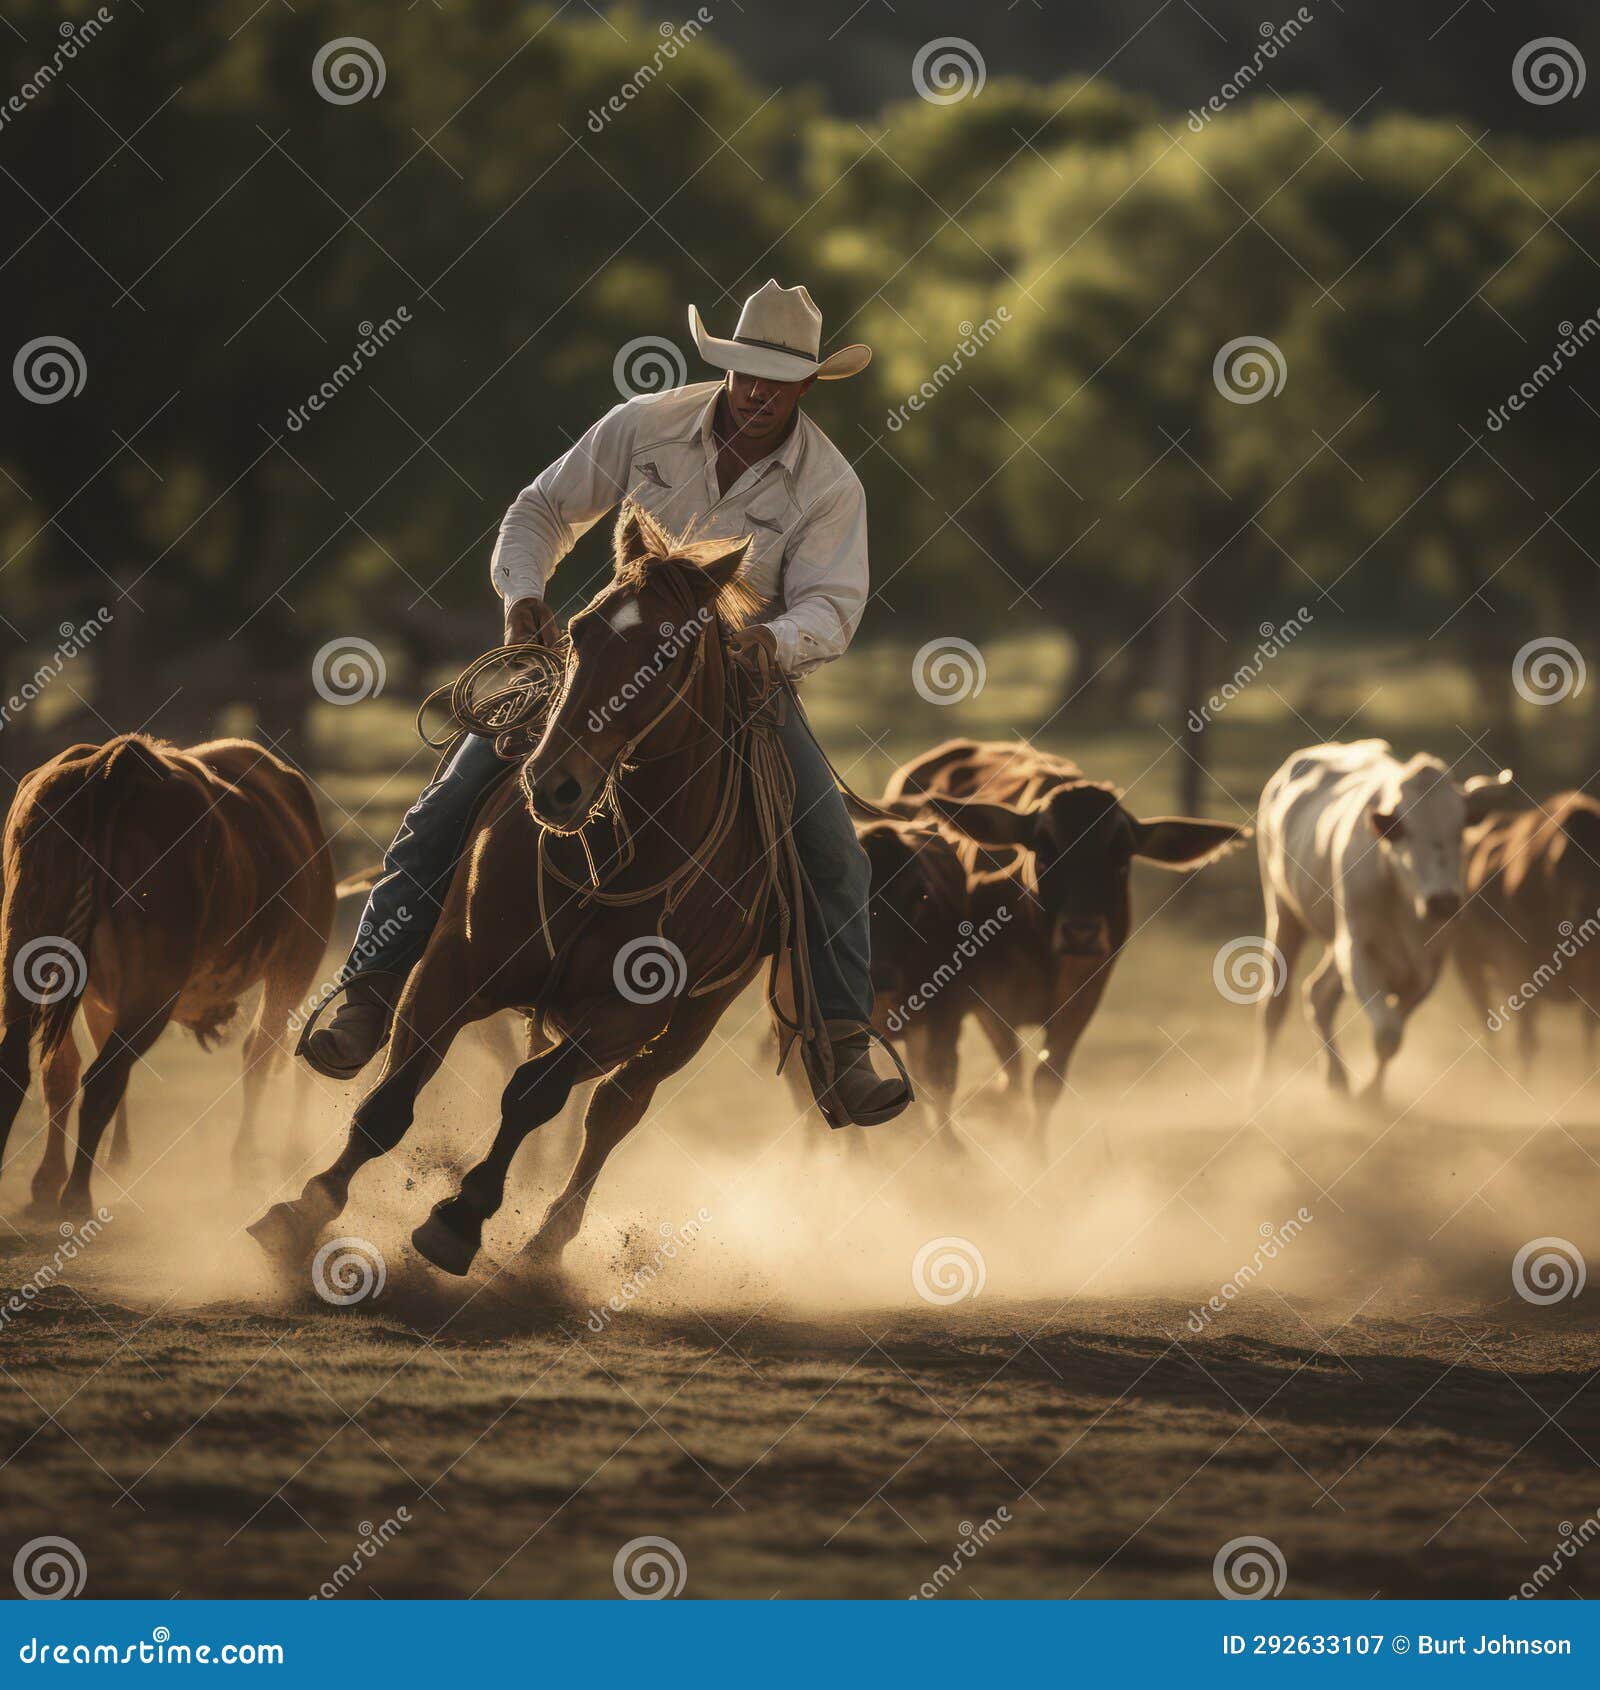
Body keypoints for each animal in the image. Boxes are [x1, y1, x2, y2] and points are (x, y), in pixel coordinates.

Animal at [0, 734, 335, 1215]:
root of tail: (117, 762)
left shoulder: (95, 995)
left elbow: (62, 1070)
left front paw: (56, 1178)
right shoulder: (295, 962)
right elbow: (259, 1054)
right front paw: (244, 1164)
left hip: (22, 954)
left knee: (28, 1069)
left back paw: (59, 1186)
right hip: (157, 987)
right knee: (103, 1080)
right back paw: (78, 1196)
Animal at [884, 738, 1251, 1146]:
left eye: (1121, 857)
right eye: (1045, 850)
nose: (1082, 931)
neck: (1039, 946)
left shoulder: (1083, 995)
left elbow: (1045, 1081)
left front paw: (1035, 1151)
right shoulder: (983, 1000)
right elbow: (1011, 1076)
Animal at [1254, 739, 1513, 1103]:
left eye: (1460, 830)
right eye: (1403, 830)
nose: (1443, 901)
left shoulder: (1428, 967)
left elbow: (1395, 1032)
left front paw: (1371, 1093)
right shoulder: (1357, 951)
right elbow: (1387, 1033)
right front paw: (1370, 1094)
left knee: (1319, 994)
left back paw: (1336, 1078)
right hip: (1283, 913)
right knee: (1275, 1004)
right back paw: (1261, 1085)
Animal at [1456, 791, 1600, 1076]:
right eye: (1562, 865)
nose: (1586, 907)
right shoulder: (1519, 967)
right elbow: (1526, 1037)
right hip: (1468, 962)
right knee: (1490, 1022)